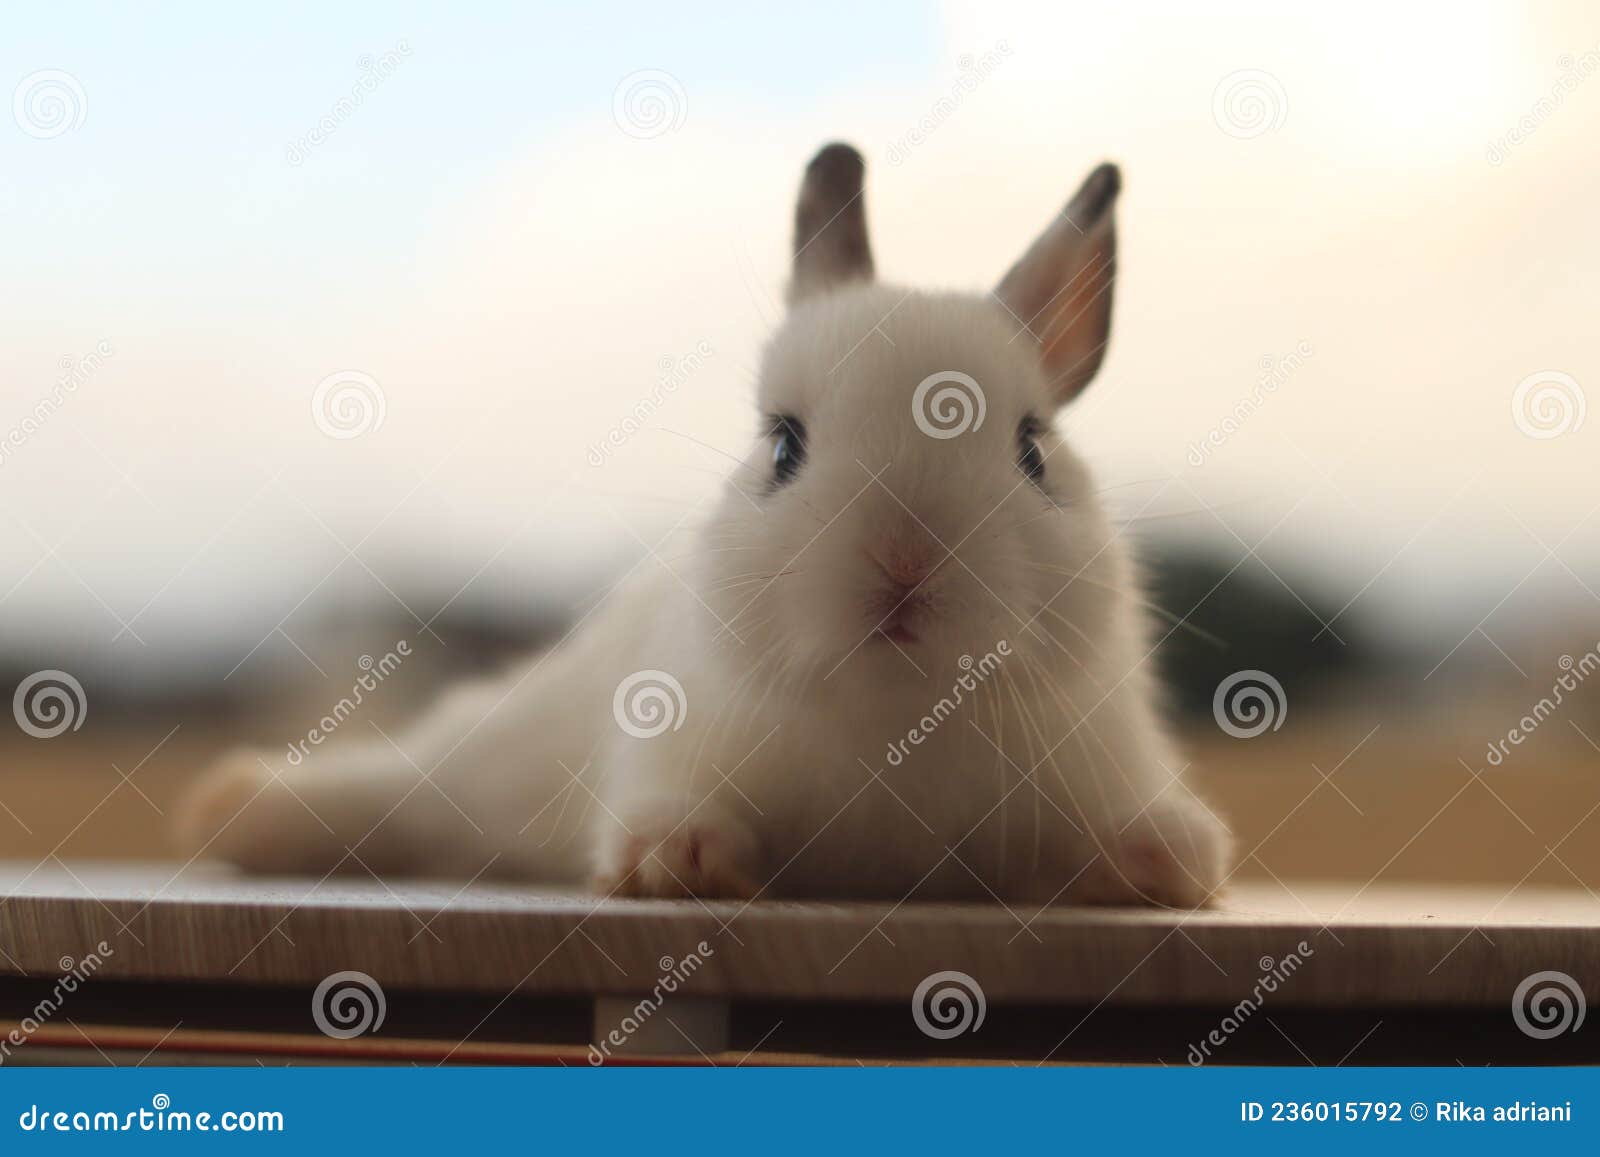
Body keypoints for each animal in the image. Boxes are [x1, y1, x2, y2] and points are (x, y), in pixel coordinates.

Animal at [178, 143, 1231, 907]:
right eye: (783, 446)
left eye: (1032, 453)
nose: (903, 563)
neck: (899, 718)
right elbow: (665, 813)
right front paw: (678, 858)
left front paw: (1169, 854)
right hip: (486, 746)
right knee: (402, 791)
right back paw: (231, 806)